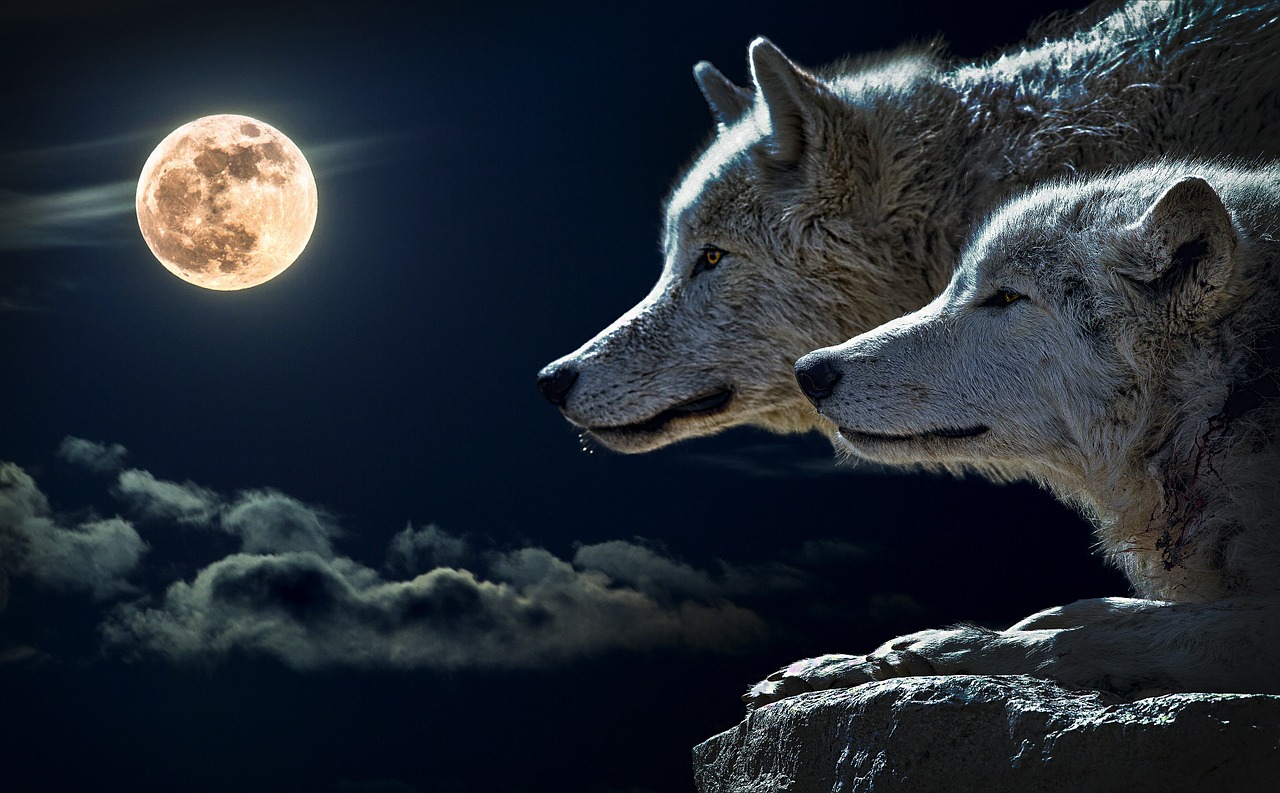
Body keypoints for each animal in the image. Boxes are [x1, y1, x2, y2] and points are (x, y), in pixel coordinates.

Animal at [746, 161, 1280, 705]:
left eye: (1006, 296)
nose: (809, 371)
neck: (1226, 402)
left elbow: (1098, 636)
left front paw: (934, 650)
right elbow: (1099, 610)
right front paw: (837, 664)